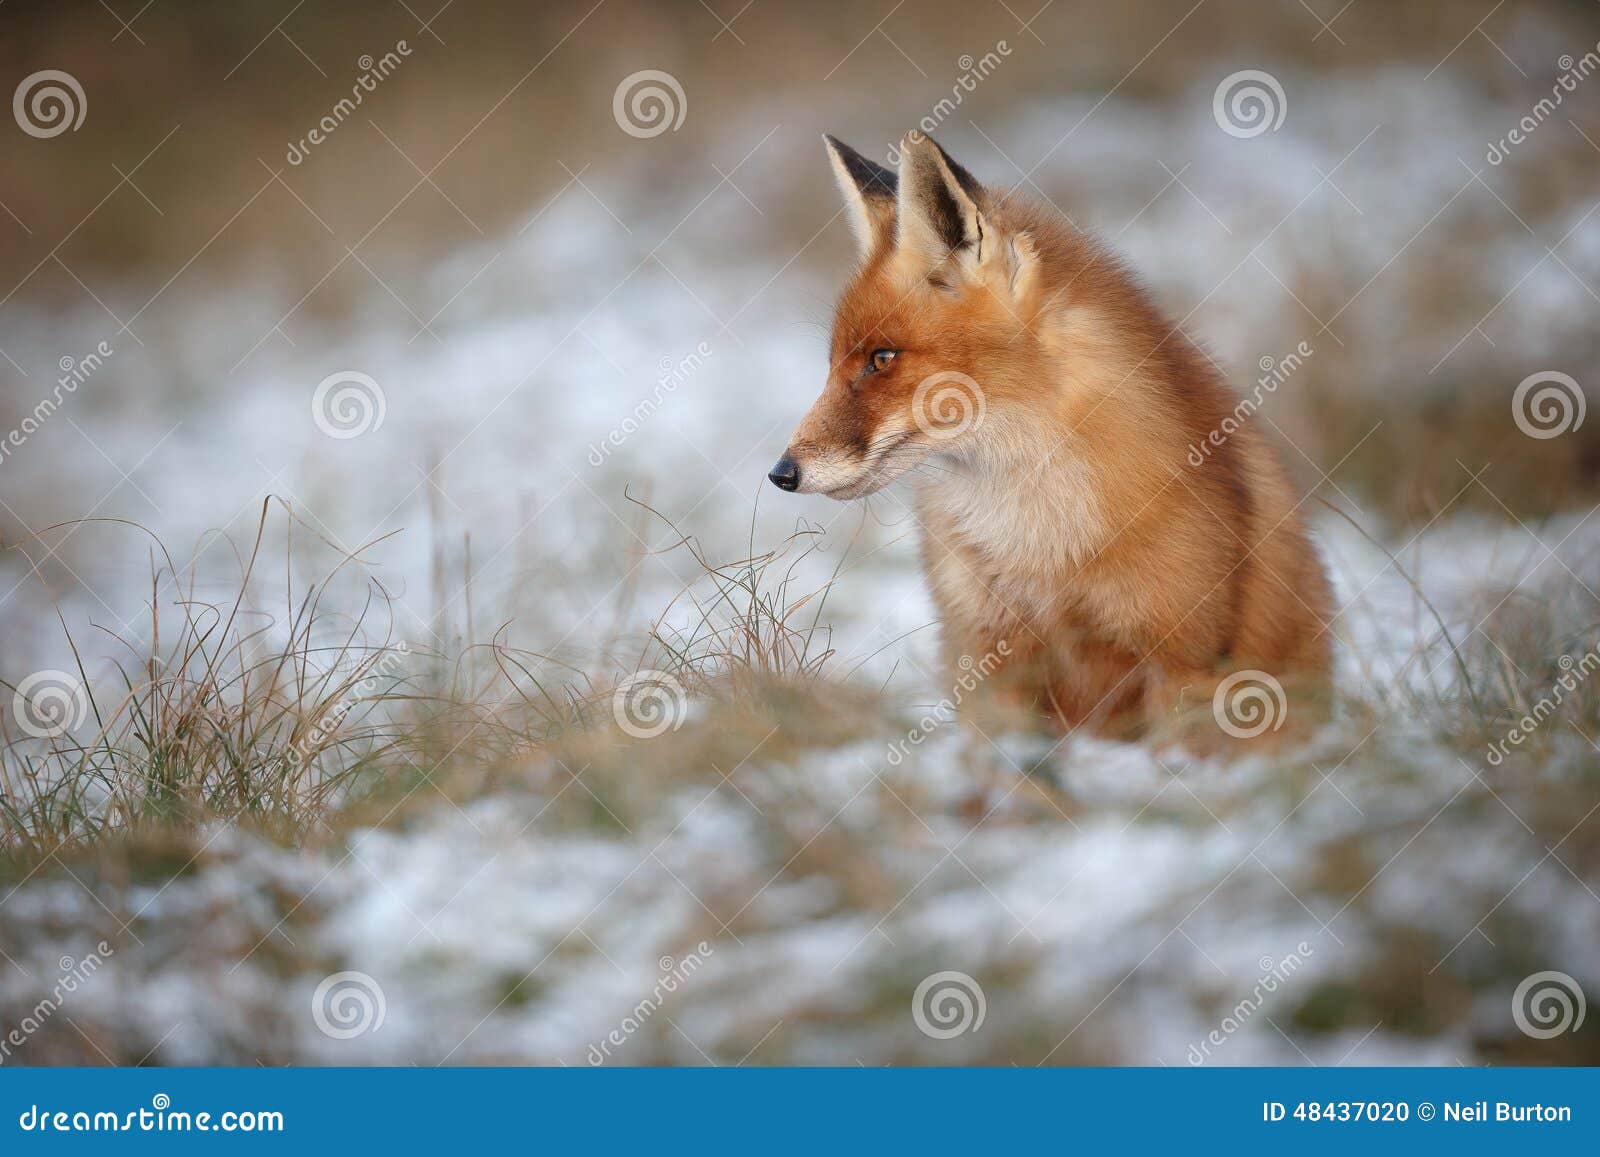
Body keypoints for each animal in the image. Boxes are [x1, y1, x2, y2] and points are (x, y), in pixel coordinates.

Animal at [769, 132, 1334, 741]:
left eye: (881, 358)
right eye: (832, 364)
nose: (781, 474)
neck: (1039, 548)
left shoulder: (1182, 661)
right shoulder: (991, 659)